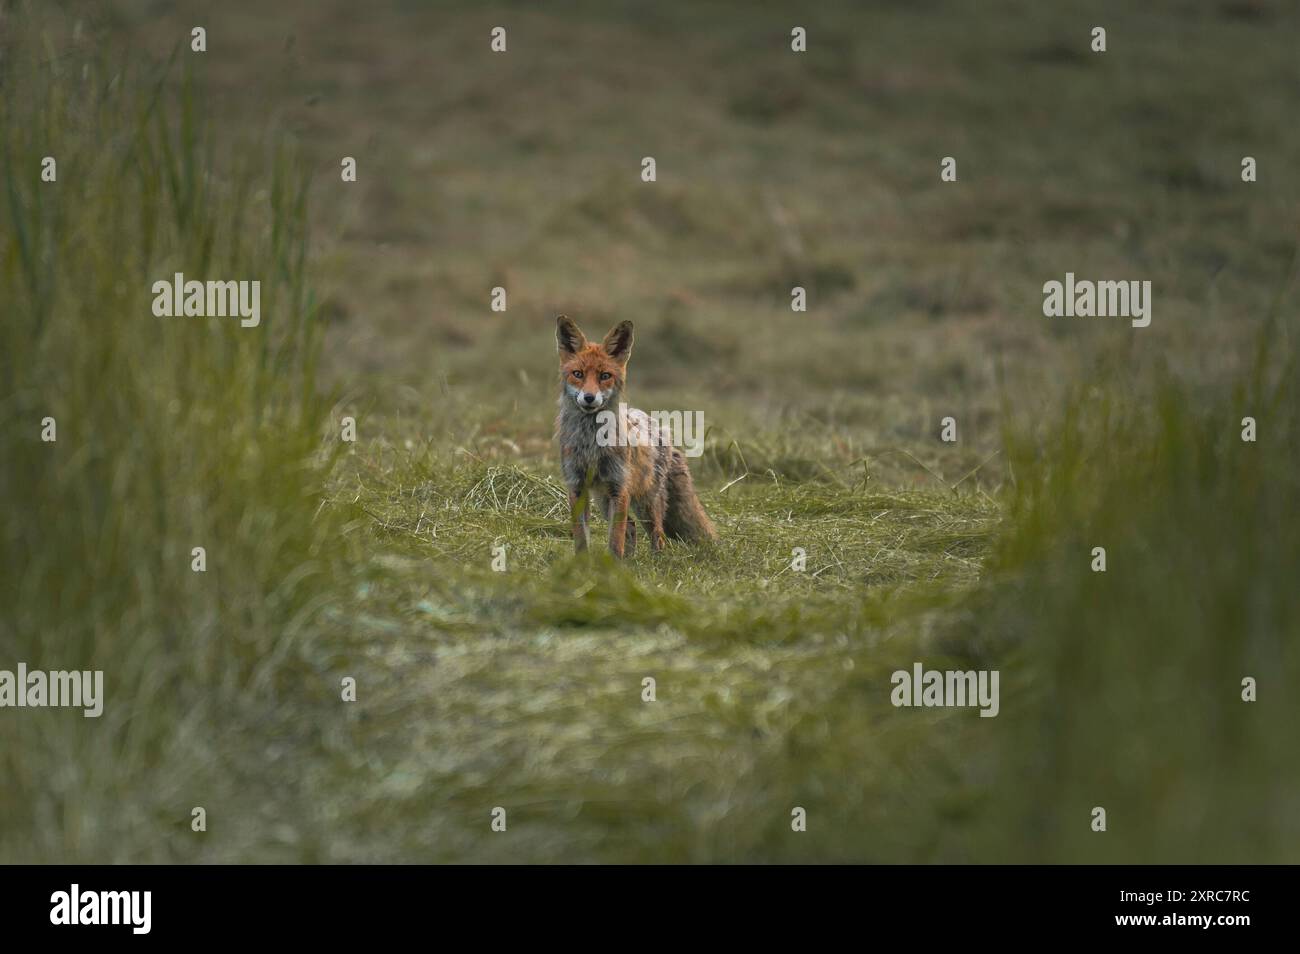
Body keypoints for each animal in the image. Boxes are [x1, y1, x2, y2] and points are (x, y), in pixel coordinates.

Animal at [555, 315, 716, 557]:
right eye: (578, 374)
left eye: (605, 376)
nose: (589, 398)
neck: (591, 442)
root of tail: (659, 427)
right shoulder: (577, 486)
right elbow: (582, 537)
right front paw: (583, 563)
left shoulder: (619, 486)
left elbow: (615, 539)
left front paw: (613, 563)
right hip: (604, 500)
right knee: (631, 527)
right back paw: (629, 560)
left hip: (645, 502)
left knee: (658, 534)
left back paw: (656, 560)